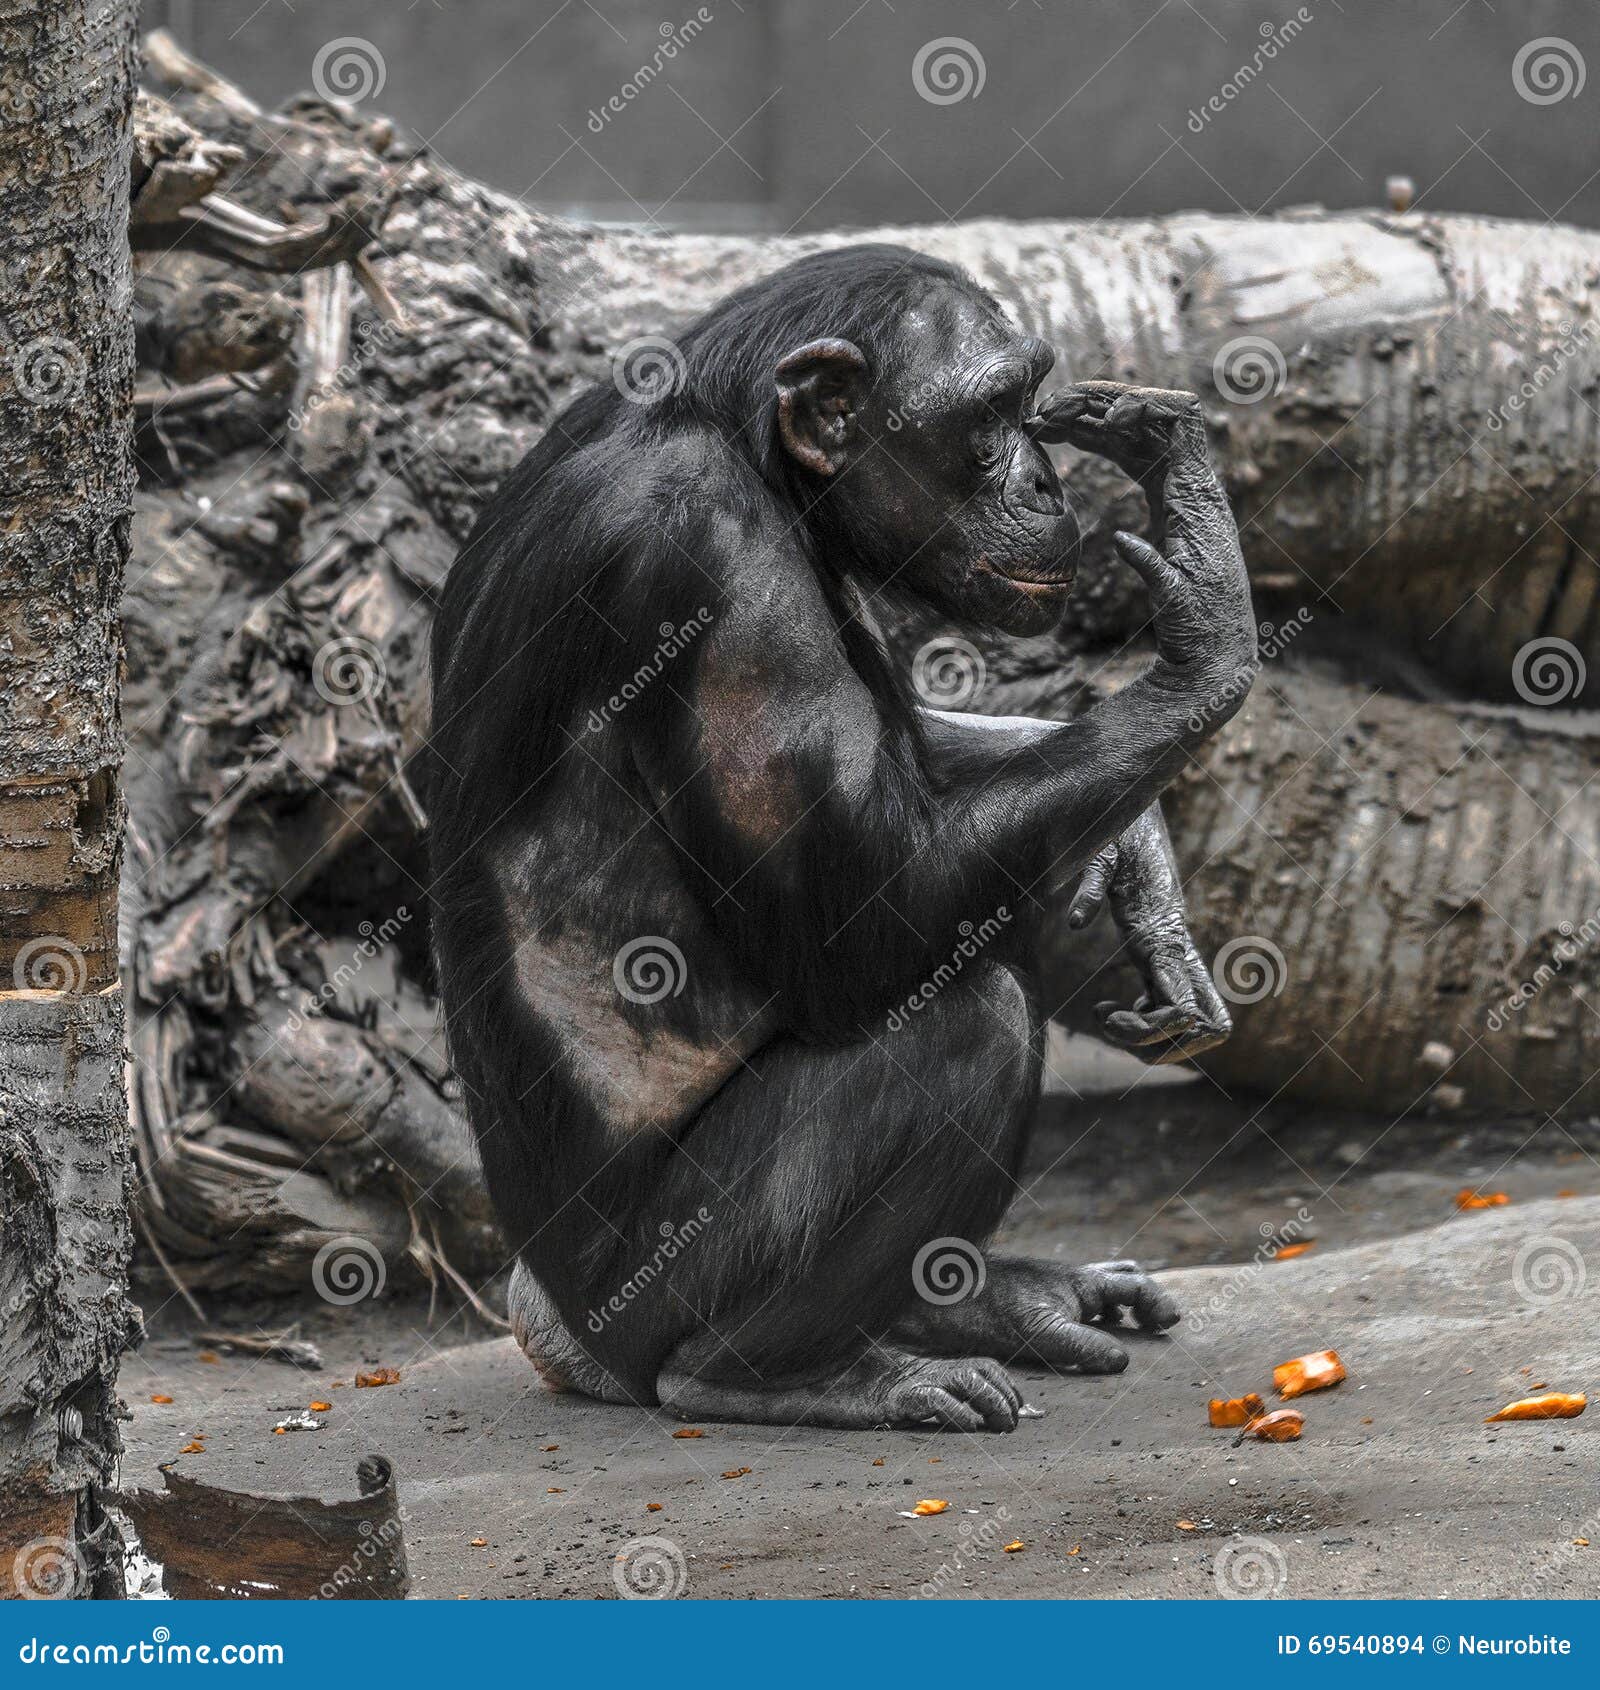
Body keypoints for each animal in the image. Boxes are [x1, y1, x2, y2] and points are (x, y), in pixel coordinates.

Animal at [428, 244, 1256, 1430]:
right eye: (990, 417)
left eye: (1028, 407)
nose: (1046, 485)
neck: (751, 450)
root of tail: (548, 1333)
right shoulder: (709, 566)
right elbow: (863, 920)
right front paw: (1206, 599)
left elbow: (907, 771)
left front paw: (1141, 861)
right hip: (645, 1298)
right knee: (969, 1022)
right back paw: (779, 1373)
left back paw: (988, 1301)